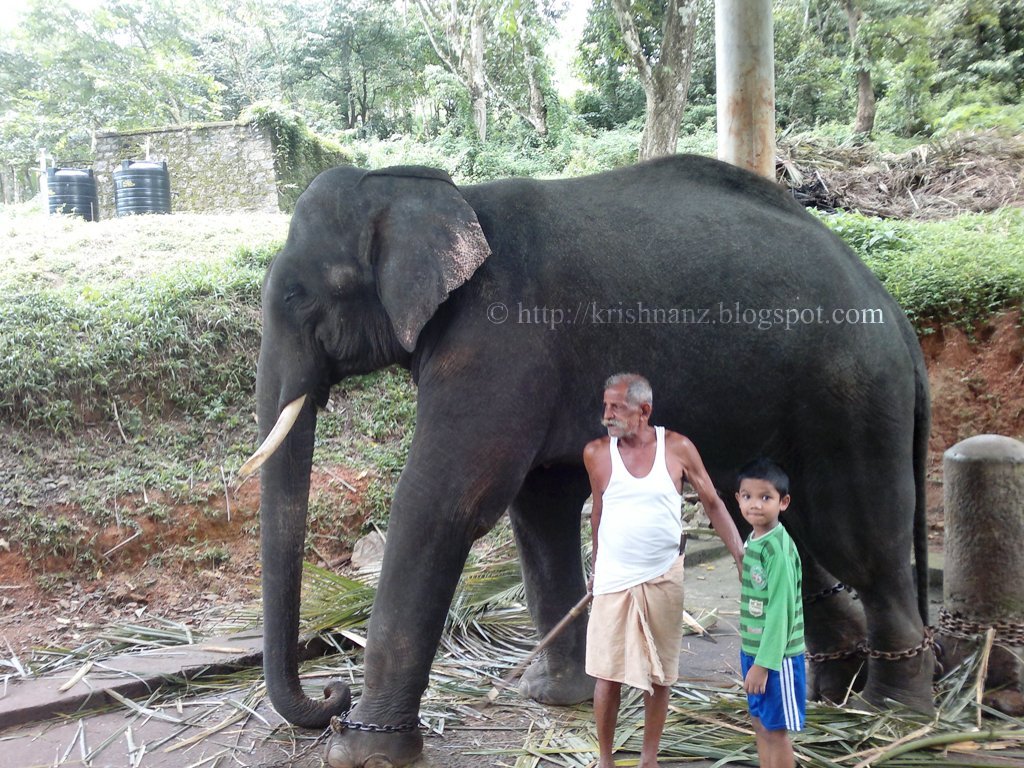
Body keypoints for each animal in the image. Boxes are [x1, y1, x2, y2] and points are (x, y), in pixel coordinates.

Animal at [242, 156, 933, 768]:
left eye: (299, 294)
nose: (333, 696)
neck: (428, 188)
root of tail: (902, 322)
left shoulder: (500, 336)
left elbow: (444, 502)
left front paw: (362, 754)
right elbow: (539, 507)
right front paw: (555, 697)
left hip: (854, 397)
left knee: (858, 537)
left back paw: (893, 716)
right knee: (786, 530)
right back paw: (832, 691)